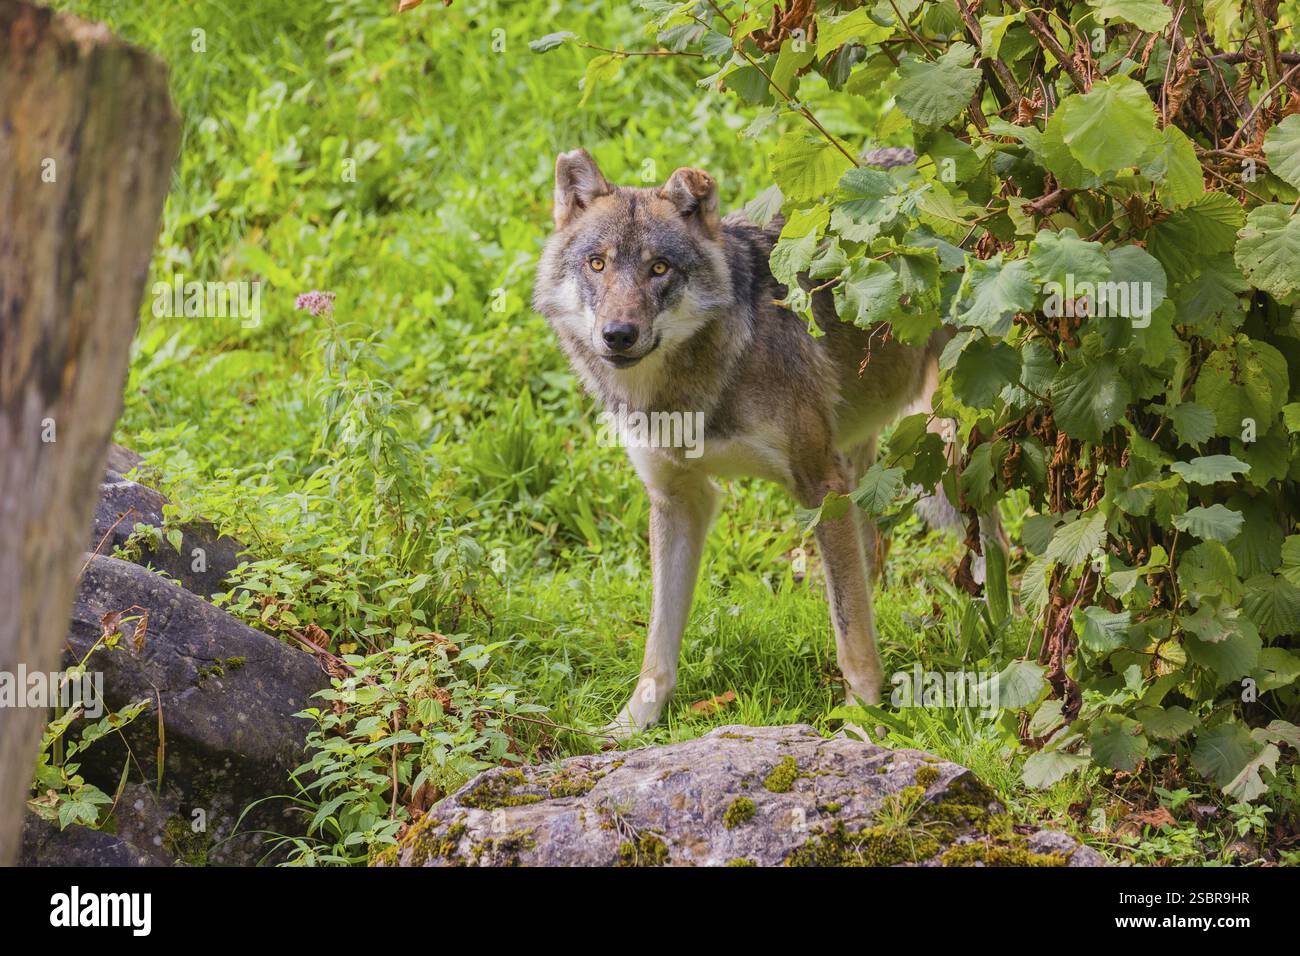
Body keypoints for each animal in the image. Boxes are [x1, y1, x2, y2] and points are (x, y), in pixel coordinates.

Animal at [533, 149, 952, 735]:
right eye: (597, 264)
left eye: (659, 268)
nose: (617, 335)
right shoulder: (679, 498)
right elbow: (658, 641)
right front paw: (630, 726)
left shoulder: (820, 485)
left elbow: (850, 631)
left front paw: (863, 720)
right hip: (862, 461)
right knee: (875, 555)